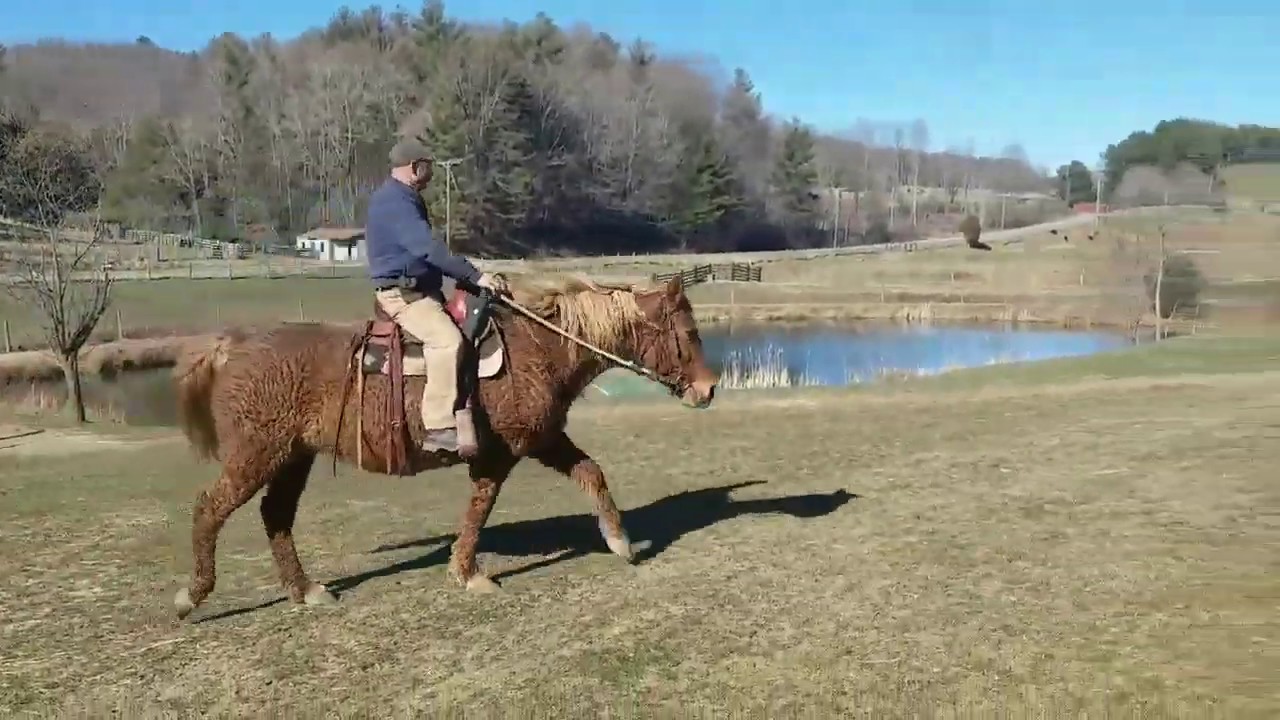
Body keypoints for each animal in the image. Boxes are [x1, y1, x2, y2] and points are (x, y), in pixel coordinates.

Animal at [169, 275, 719, 620]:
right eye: (689, 332)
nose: (709, 389)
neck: (538, 346)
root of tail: (227, 347)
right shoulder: (500, 454)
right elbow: (480, 508)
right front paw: (468, 573)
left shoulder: (543, 440)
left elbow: (591, 473)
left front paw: (620, 542)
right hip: (258, 454)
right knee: (210, 509)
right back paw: (191, 596)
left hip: (291, 457)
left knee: (276, 517)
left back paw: (305, 590)